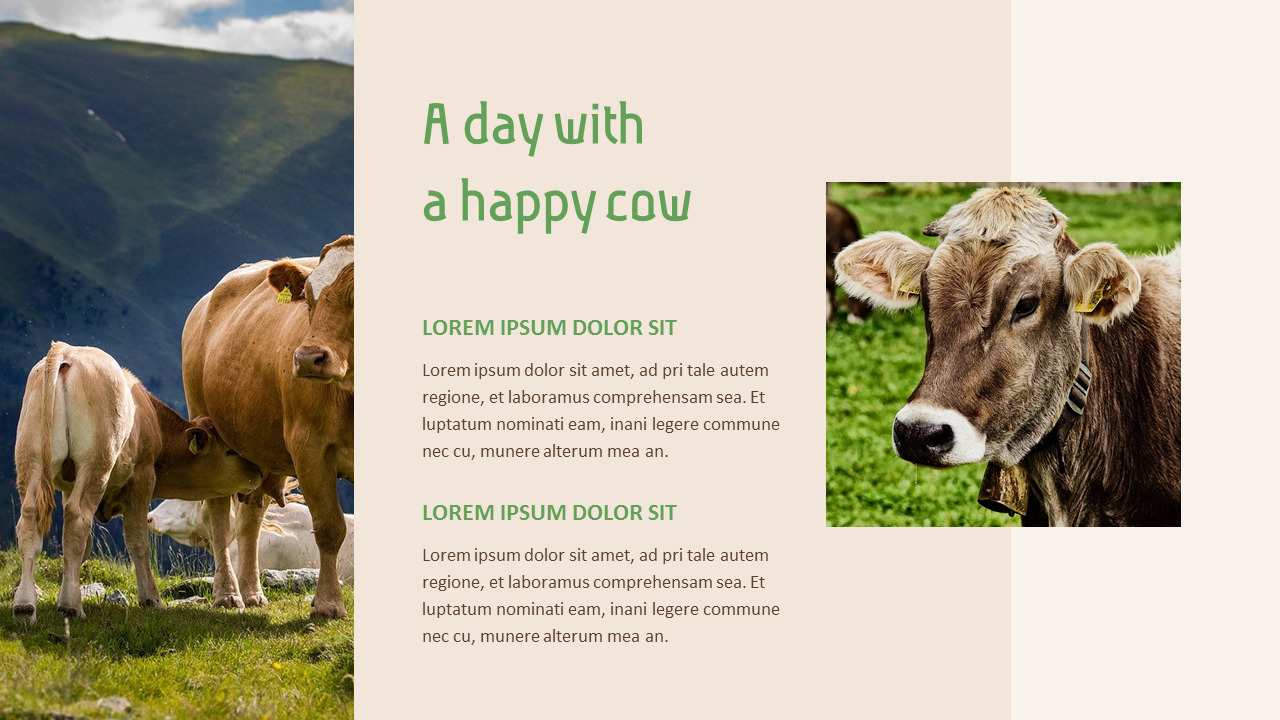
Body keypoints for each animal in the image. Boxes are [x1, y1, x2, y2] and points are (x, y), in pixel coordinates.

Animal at [11, 342, 262, 620]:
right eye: (230, 451)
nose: (259, 472)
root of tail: (67, 352)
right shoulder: (143, 477)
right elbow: (137, 540)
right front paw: (151, 598)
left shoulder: (68, 485)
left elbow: (82, 547)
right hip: (96, 462)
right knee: (77, 518)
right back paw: (71, 606)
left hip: (30, 458)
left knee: (30, 519)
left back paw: (25, 604)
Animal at [183, 234, 354, 618]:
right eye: (308, 297)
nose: (307, 358)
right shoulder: (309, 447)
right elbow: (329, 526)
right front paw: (328, 603)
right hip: (207, 429)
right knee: (219, 515)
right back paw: (228, 593)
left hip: (257, 450)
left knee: (252, 515)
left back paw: (251, 591)